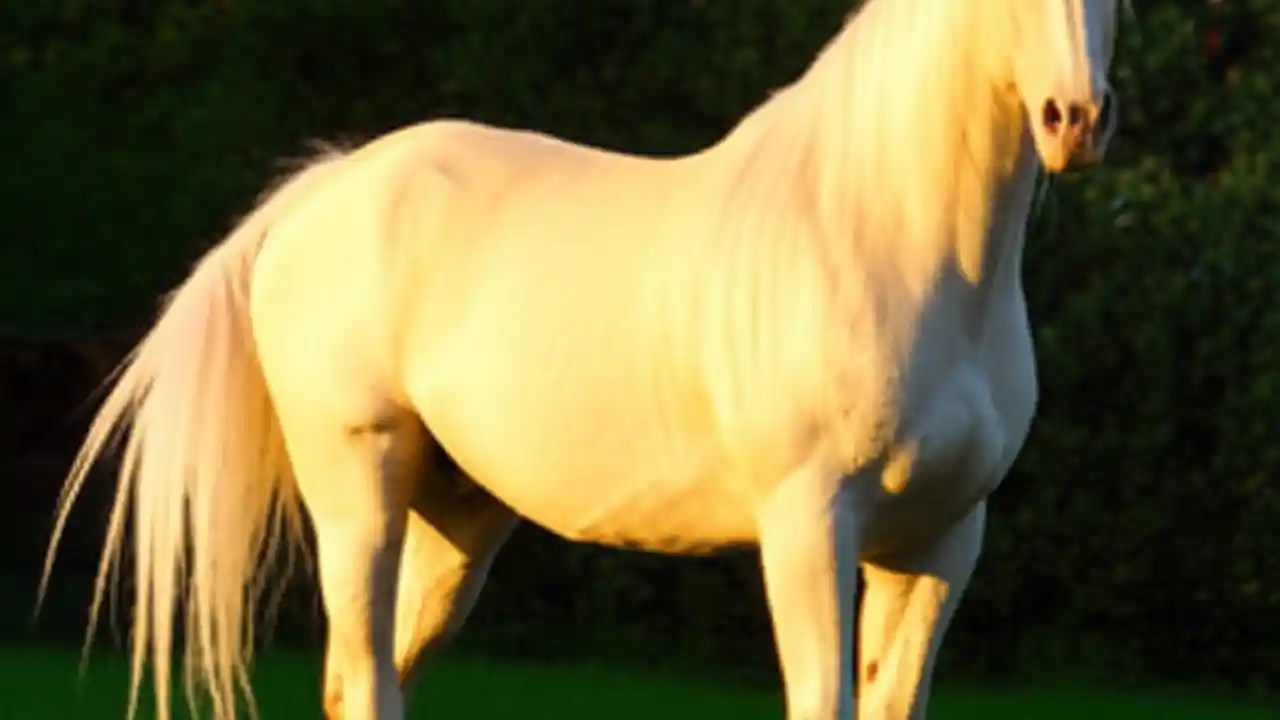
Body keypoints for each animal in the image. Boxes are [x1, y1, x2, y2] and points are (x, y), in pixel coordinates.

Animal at [40, 1, 1122, 718]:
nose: (1075, 120)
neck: (884, 239)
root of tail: (324, 188)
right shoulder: (810, 527)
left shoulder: (940, 541)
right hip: (358, 498)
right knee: (363, 679)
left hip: (458, 523)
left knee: (369, 680)